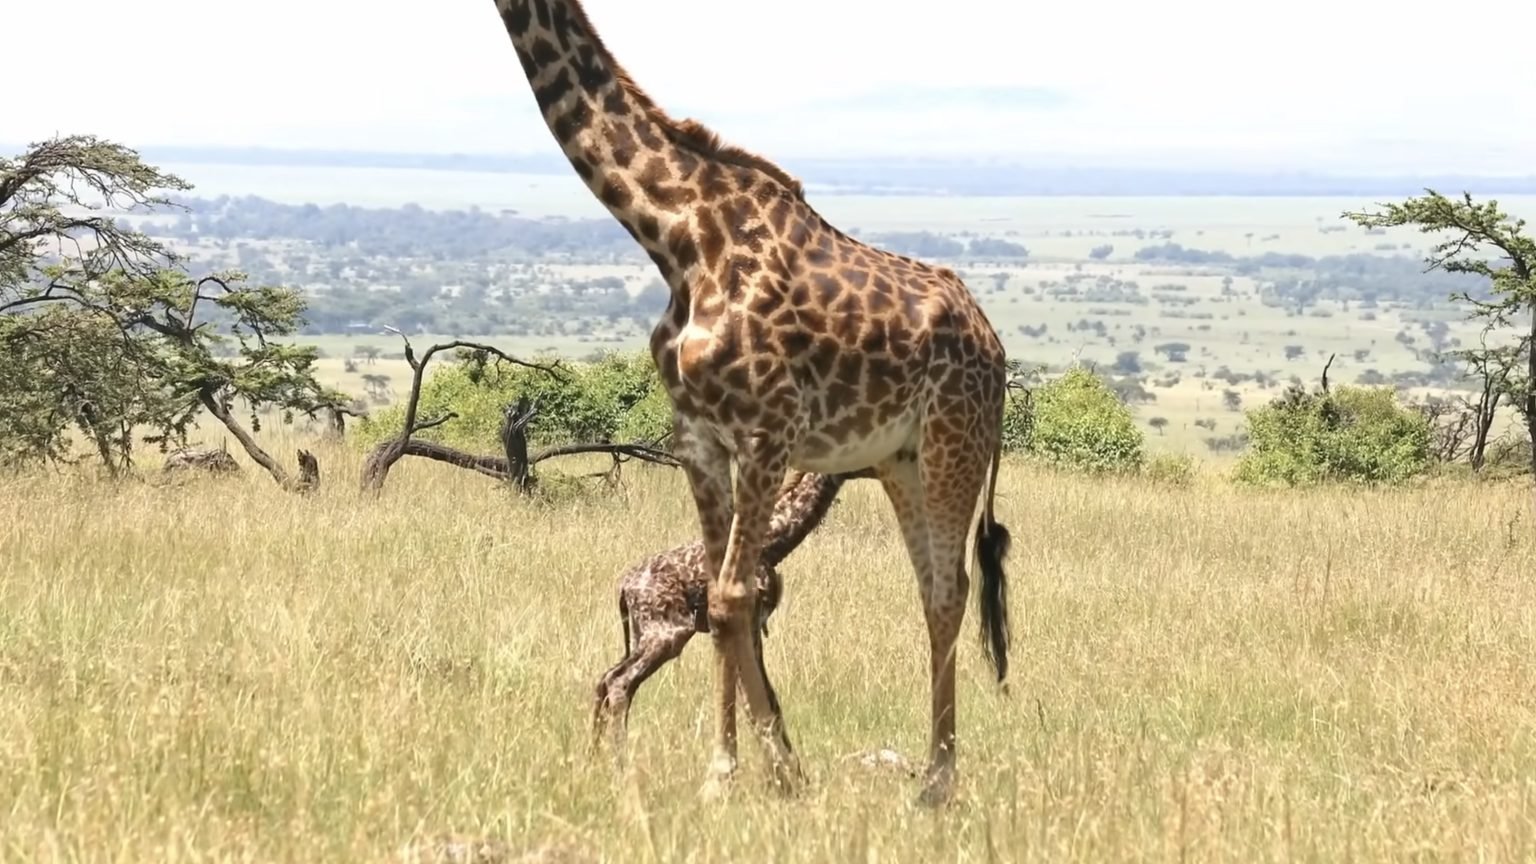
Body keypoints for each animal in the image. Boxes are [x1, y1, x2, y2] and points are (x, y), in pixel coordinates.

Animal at [591, 468, 874, 759]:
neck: (773, 541)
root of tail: (625, 587)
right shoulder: (749, 623)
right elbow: (757, 702)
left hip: (640, 634)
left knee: (605, 679)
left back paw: (595, 755)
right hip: (666, 634)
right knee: (619, 682)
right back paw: (620, 759)